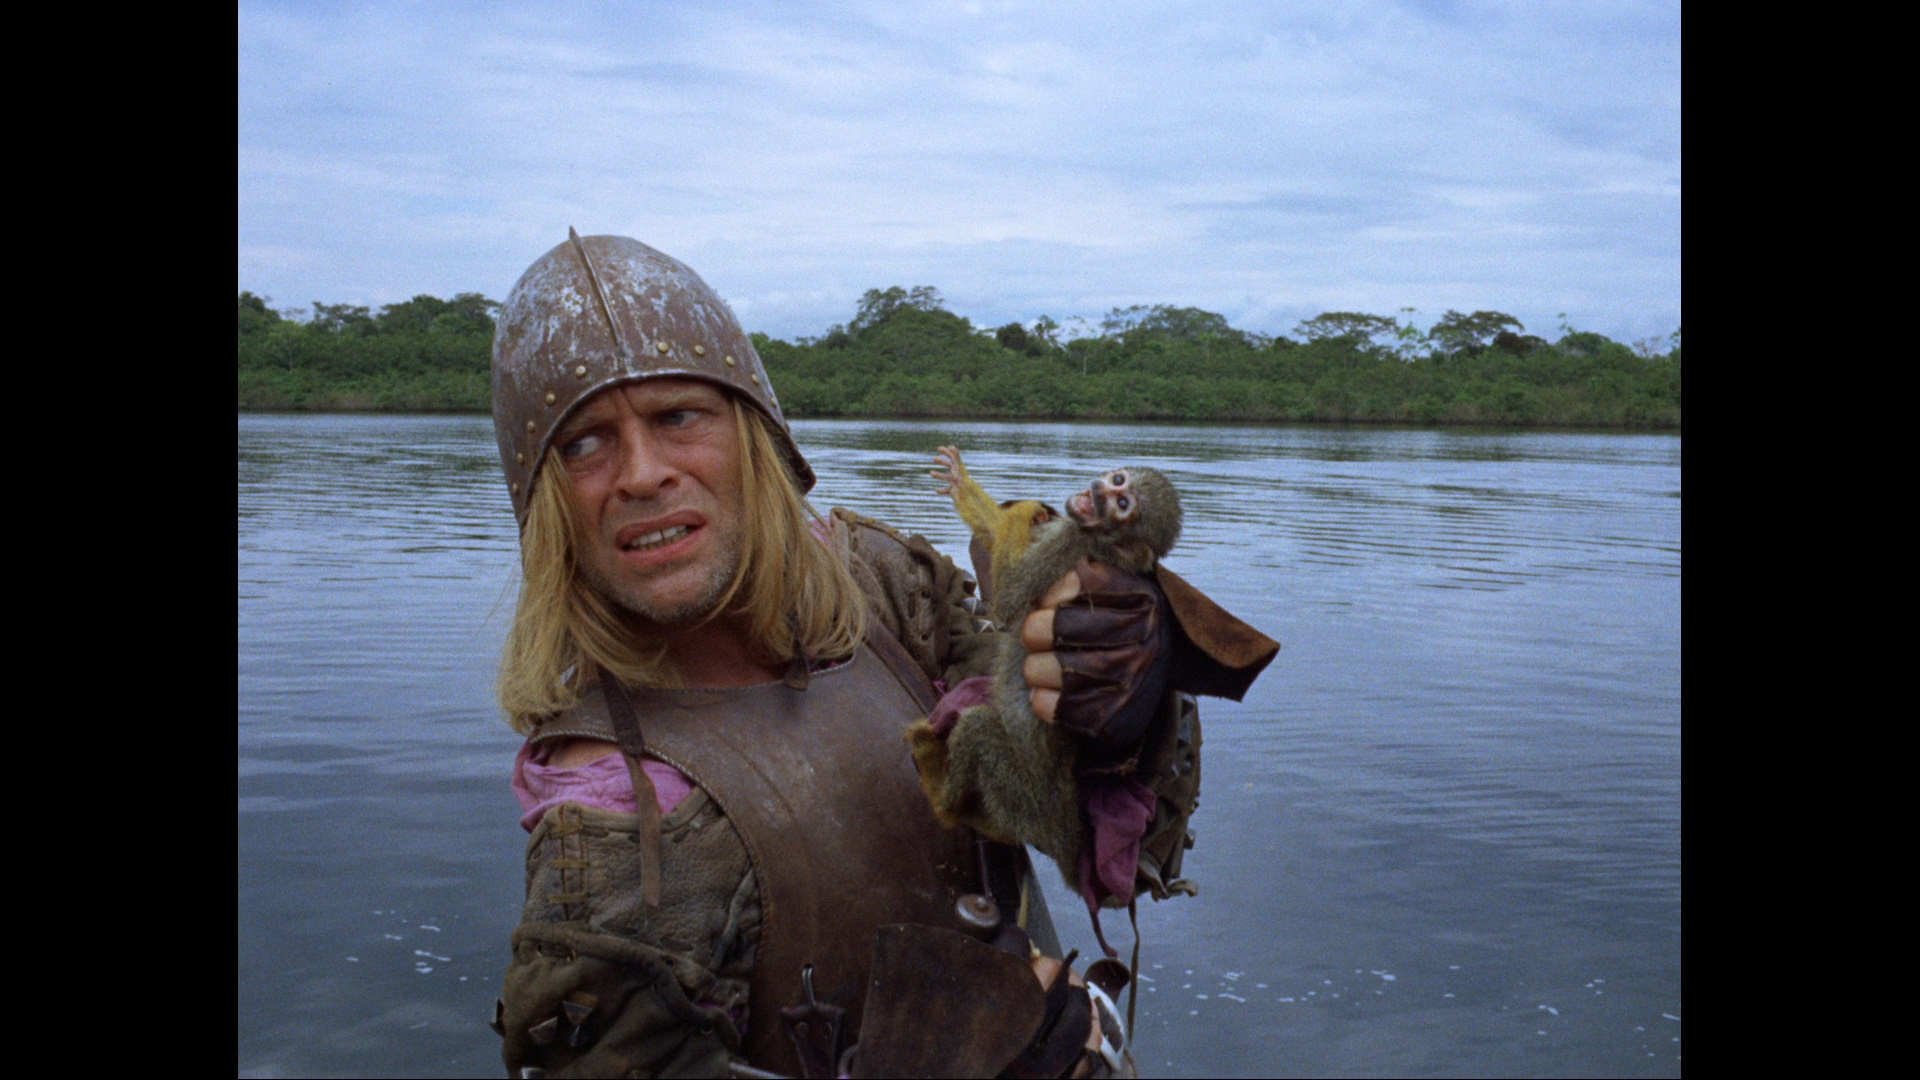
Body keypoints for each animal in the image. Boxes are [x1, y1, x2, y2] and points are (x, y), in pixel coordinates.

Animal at [909, 446, 1183, 878]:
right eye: (1118, 480)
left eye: (1122, 505)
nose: (1099, 490)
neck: (1097, 540)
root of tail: (1066, 833)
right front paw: (963, 484)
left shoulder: (1068, 546)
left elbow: (1006, 601)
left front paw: (1021, 512)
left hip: (1025, 798)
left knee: (978, 729)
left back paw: (944, 801)